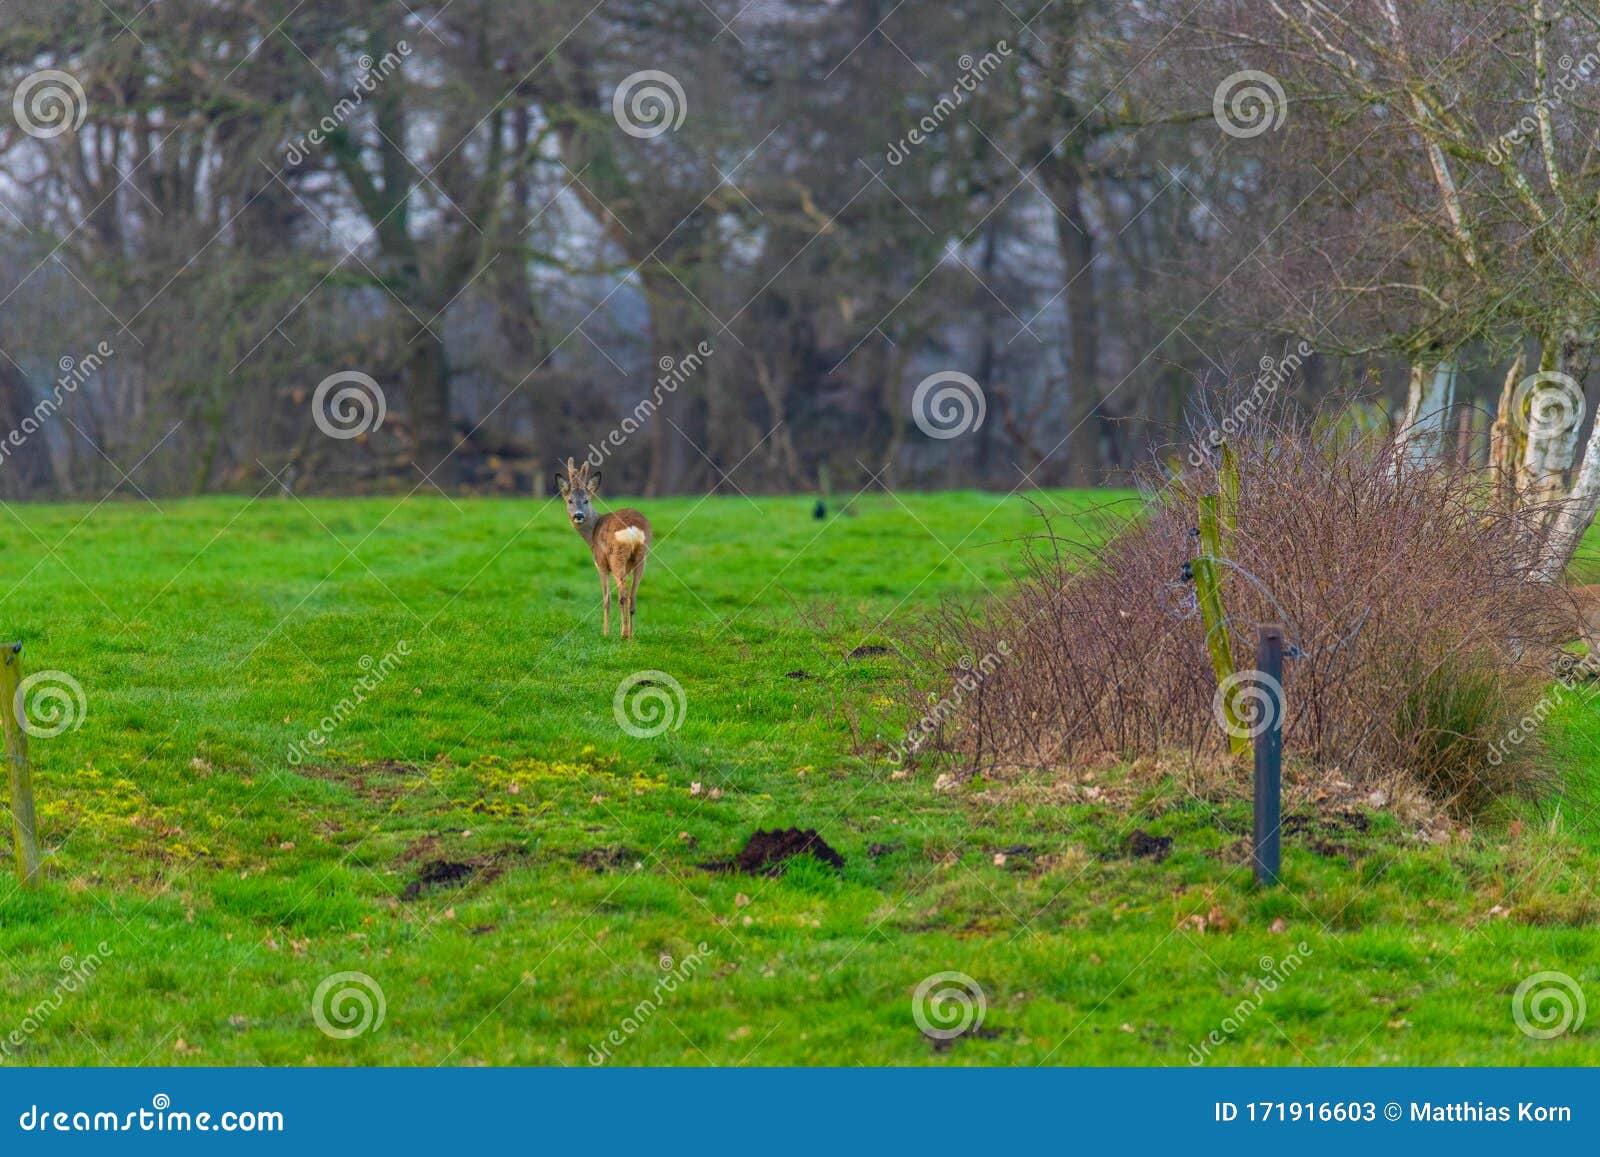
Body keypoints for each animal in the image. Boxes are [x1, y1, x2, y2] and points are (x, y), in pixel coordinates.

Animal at [556, 457, 651, 639]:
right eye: (570, 500)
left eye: (586, 500)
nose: (578, 515)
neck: (593, 531)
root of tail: (633, 529)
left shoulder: (600, 563)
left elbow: (606, 600)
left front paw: (605, 633)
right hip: (642, 557)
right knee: (633, 595)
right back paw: (631, 635)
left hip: (617, 556)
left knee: (623, 593)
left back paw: (623, 635)